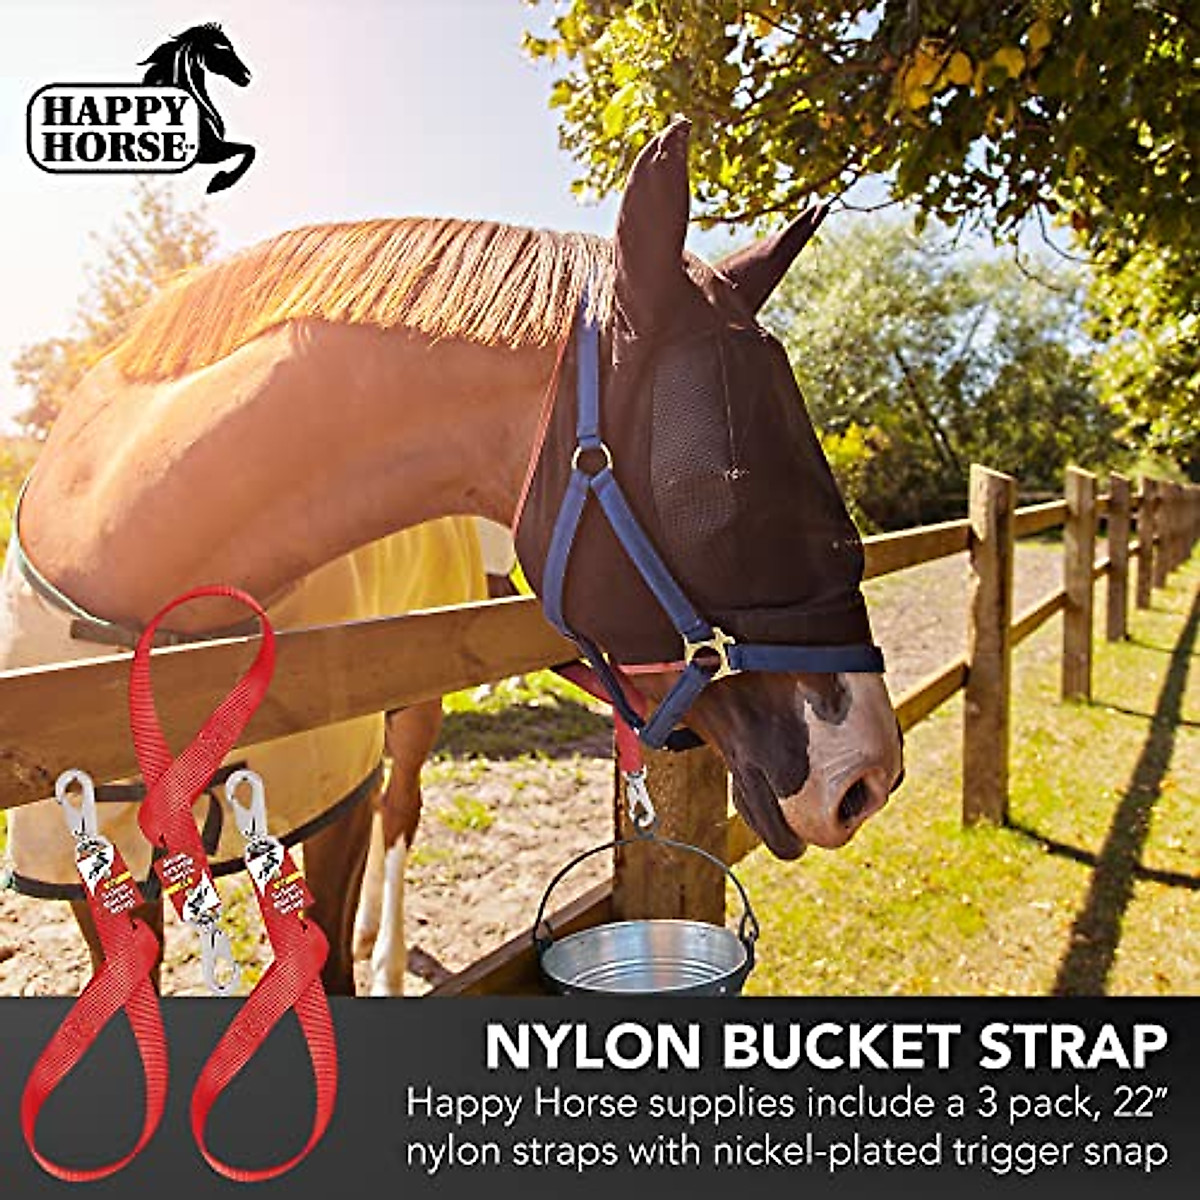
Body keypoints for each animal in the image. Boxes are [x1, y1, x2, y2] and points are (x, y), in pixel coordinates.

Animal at [140, 22, 255, 194]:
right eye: (221, 48)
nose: (247, 77)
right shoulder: (210, 152)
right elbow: (250, 150)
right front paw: (219, 182)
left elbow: (250, 150)